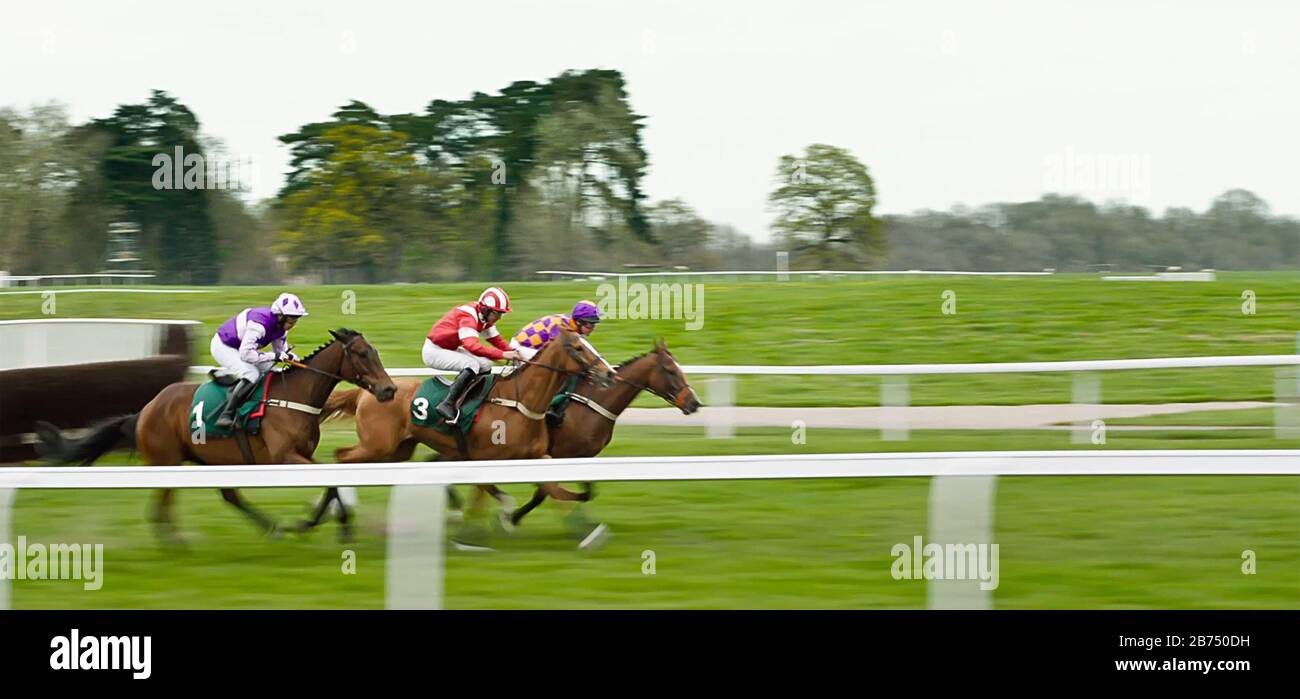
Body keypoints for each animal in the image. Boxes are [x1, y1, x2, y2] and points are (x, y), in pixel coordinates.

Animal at [35, 328, 397, 543]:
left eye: (377, 351)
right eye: (362, 354)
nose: (389, 390)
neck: (294, 395)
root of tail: (145, 410)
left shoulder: (303, 455)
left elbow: (331, 483)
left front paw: (315, 522)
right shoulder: (284, 458)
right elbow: (331, 481)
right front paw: (331, 525)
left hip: (210, 459)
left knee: (228, 496)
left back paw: (271, 527)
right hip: (167, 461)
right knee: (161, 505)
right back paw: (175, 543)